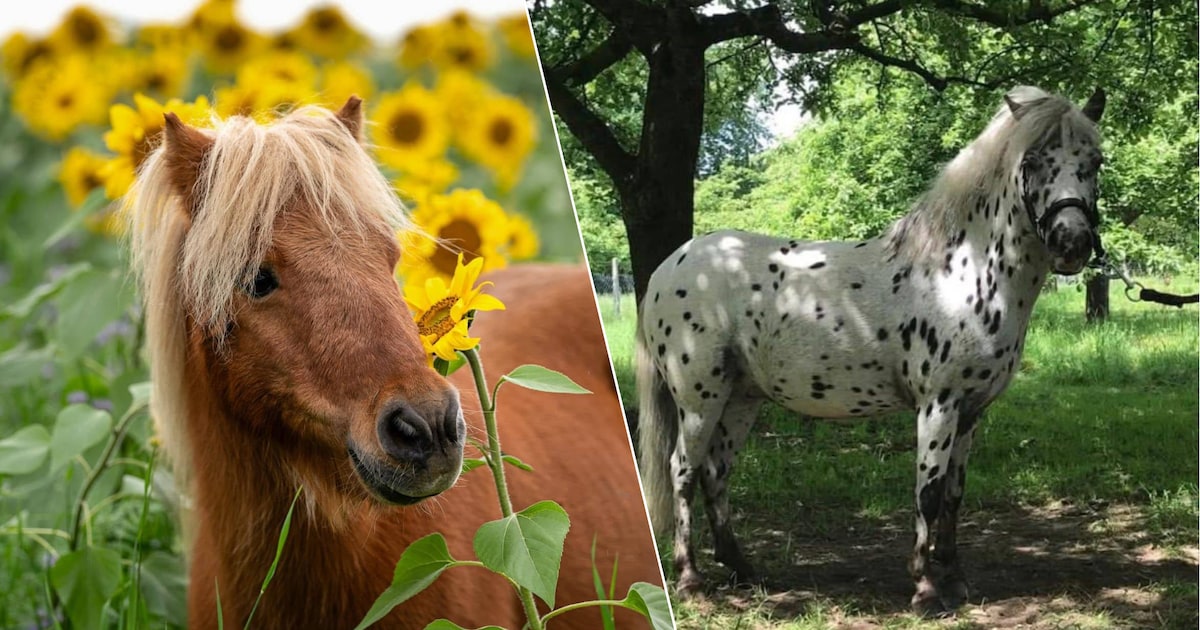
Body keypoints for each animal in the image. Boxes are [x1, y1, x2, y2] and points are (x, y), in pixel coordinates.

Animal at [636, 86, 1106, 615]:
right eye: (1033, 162)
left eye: (1095, 162)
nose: (1072, 242)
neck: (961, 272)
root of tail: (669, 266)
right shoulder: (938, 406)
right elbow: (928, 494)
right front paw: (925, 589)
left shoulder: (971, 411)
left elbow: (954, 495)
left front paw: (956, 580)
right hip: (700, 399)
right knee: (684, 471)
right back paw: (691, 580)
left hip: (741, 398)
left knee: (717, 472)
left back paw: (743, 570)